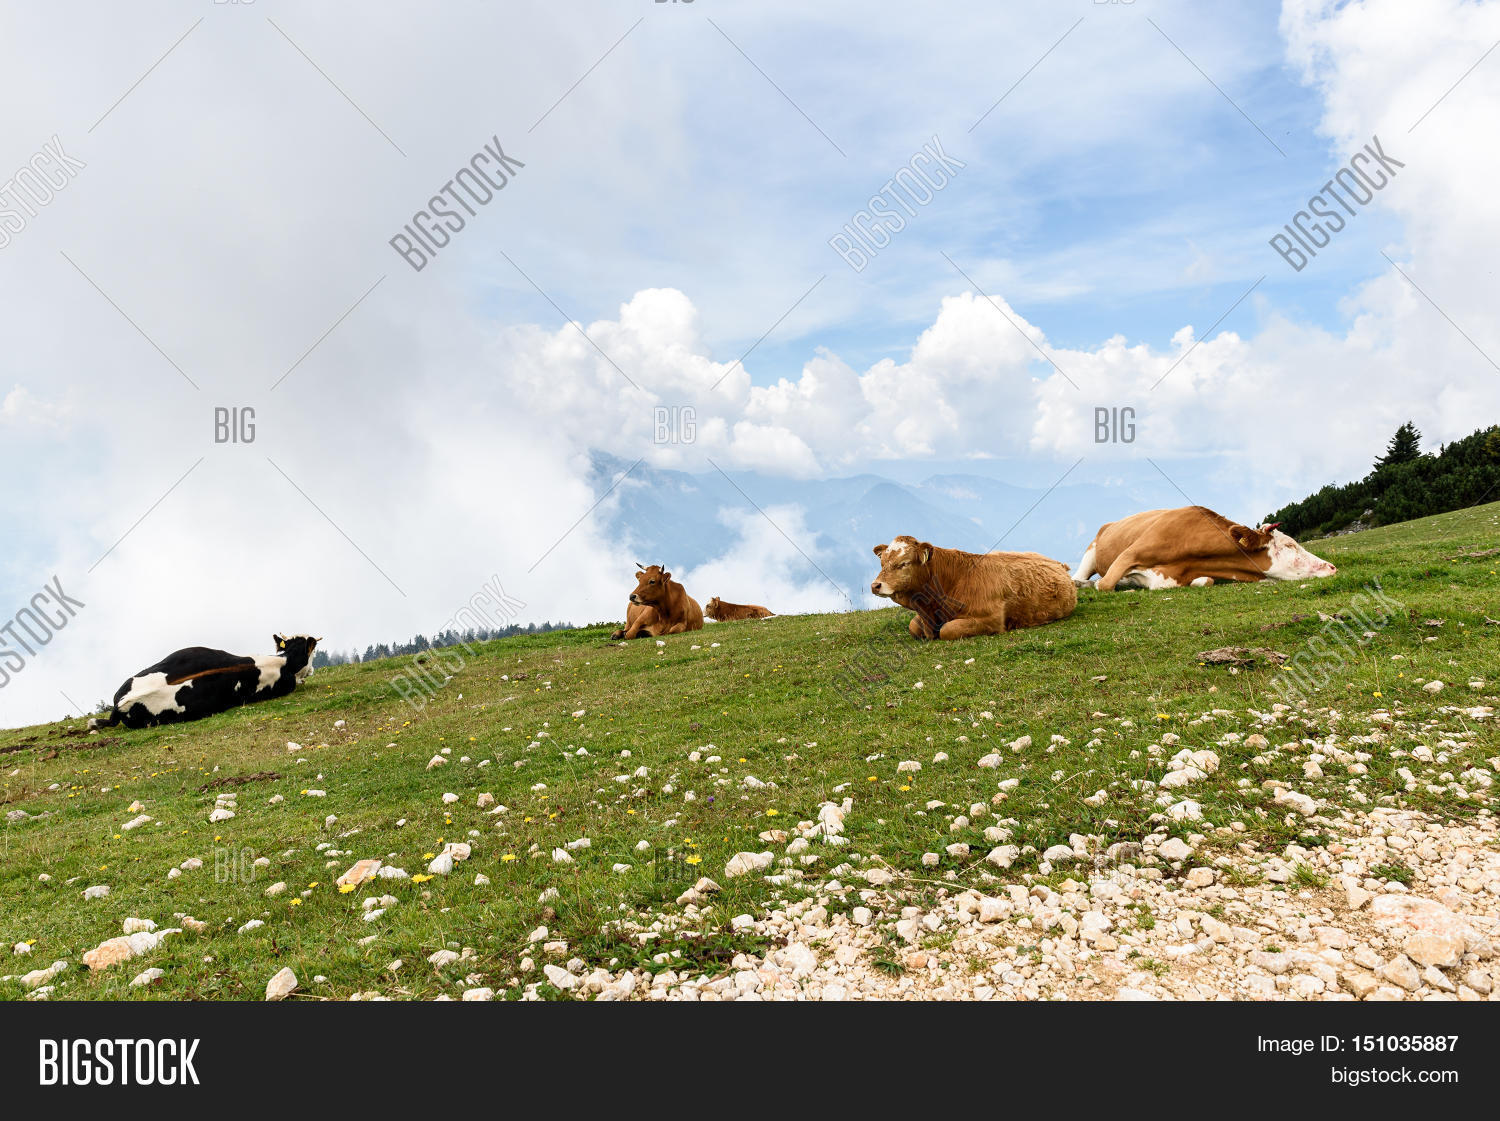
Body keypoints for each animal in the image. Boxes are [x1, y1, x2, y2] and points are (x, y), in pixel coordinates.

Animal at [870, 535, 1077, 640]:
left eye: (904, 563)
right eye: (882, 563)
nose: (875, 585)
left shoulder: (991, 619)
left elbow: (947, 630)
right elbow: (913, 626)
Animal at [1072, 506, 1337, 591]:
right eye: (1290, 544)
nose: (1332, 567)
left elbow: (1206, 581)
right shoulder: (1128, 554)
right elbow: (1104, 585)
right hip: (1091, 553)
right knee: (1082, 576)